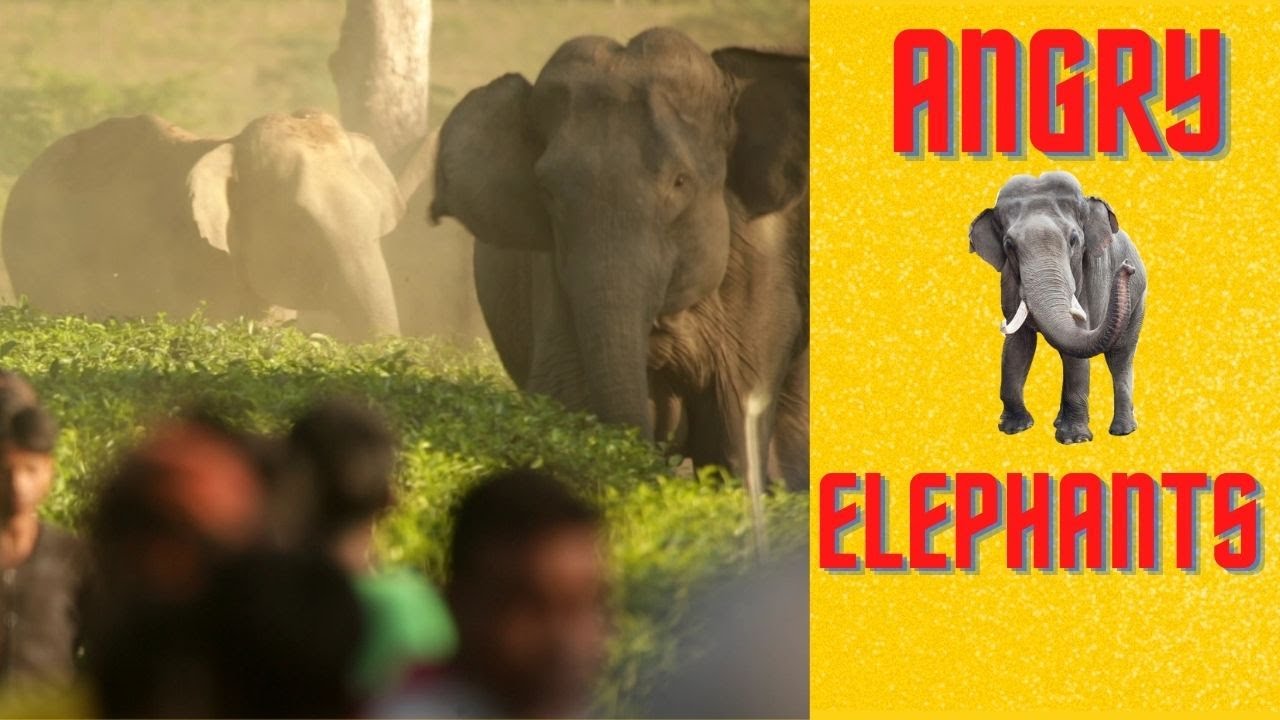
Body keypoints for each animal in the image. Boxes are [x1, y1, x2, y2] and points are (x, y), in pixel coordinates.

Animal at [430, 27, 810, 491]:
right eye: (547, 191)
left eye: (680, 182)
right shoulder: (554, 278)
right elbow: (568, 401)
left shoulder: (759, 272)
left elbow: (733, 438)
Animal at [968, 171, 1147, 444]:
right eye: (1009, 245)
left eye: (1074, 240)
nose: (1126, 268)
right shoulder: (1009, 281)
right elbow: (1017, 345)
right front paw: (1015, 428)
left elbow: (1077, 347)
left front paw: (1074, 440)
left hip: (1138, 300)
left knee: (1120, 357)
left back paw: (1122, 431)